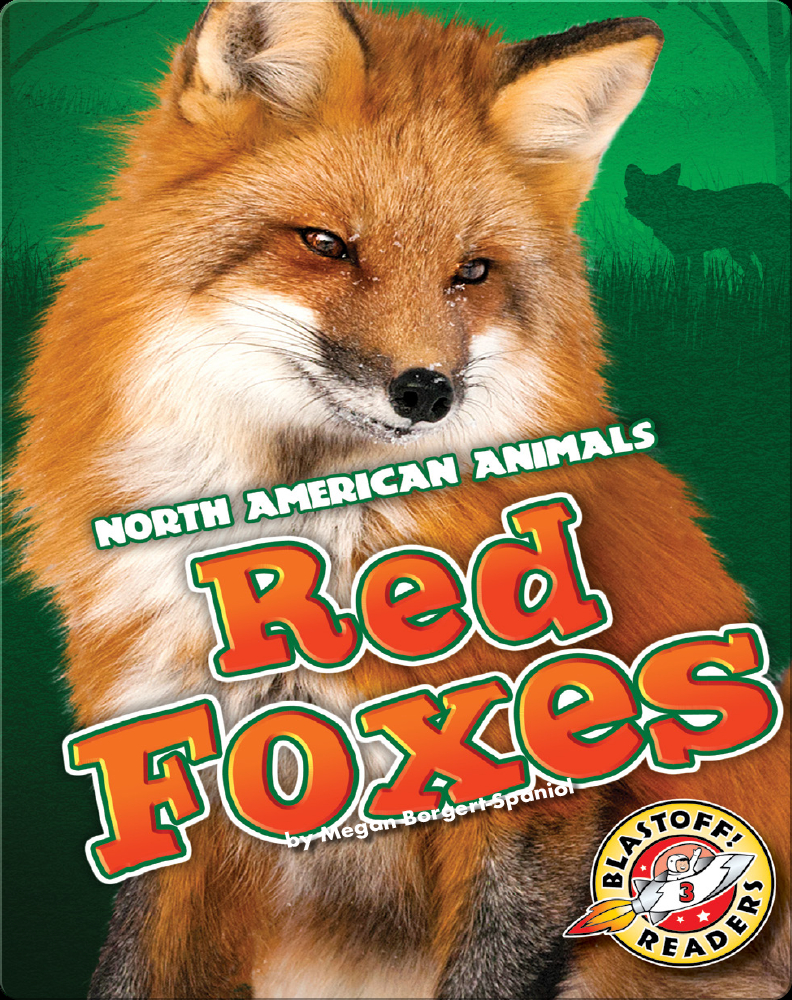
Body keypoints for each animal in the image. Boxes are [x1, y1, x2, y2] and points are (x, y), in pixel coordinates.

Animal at [624, 162, 791, 278]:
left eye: (664, 196)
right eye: (648, 195)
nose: (659, 207)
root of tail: (781, 193)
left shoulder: (695, 251)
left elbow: (696, 281)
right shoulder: (679, 253)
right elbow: (681, 279)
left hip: (767, 249)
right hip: (741, 251)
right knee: (756, 274)